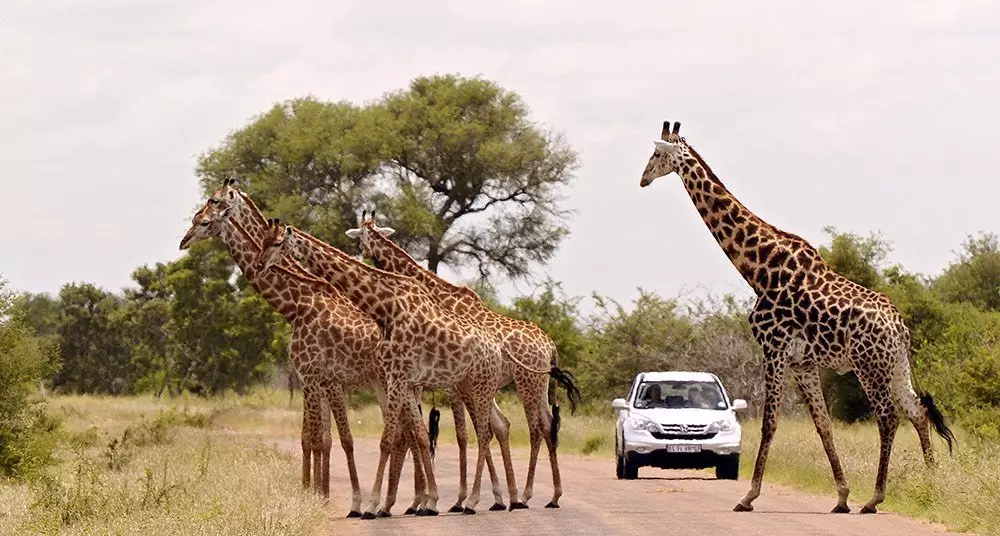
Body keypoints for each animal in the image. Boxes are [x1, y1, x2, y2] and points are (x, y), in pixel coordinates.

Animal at [344, 211, 584, 508]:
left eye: (361, 237)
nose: (359, 253)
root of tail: (550, 347)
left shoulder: (451, 385)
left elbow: (463, 434)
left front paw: (460, 498)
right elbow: (481, 430)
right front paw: (489, 496)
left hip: (526, 384)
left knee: (535, 428)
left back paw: (527, 494)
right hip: (539, 385)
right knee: (548, 425)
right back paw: (551, 495)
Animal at [636, 121, 956, 516]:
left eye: (656, 154)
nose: (643, 179)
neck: (758, 269)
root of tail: (900, 327)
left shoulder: (773, 348)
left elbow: (769, 423)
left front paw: (748, 496)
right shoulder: (802, 360)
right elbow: (823, 424)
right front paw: (841, 496)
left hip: (868, 365)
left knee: (889, 416)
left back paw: (875, 498)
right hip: (895, 364)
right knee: (917, 410)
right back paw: (932, 484)